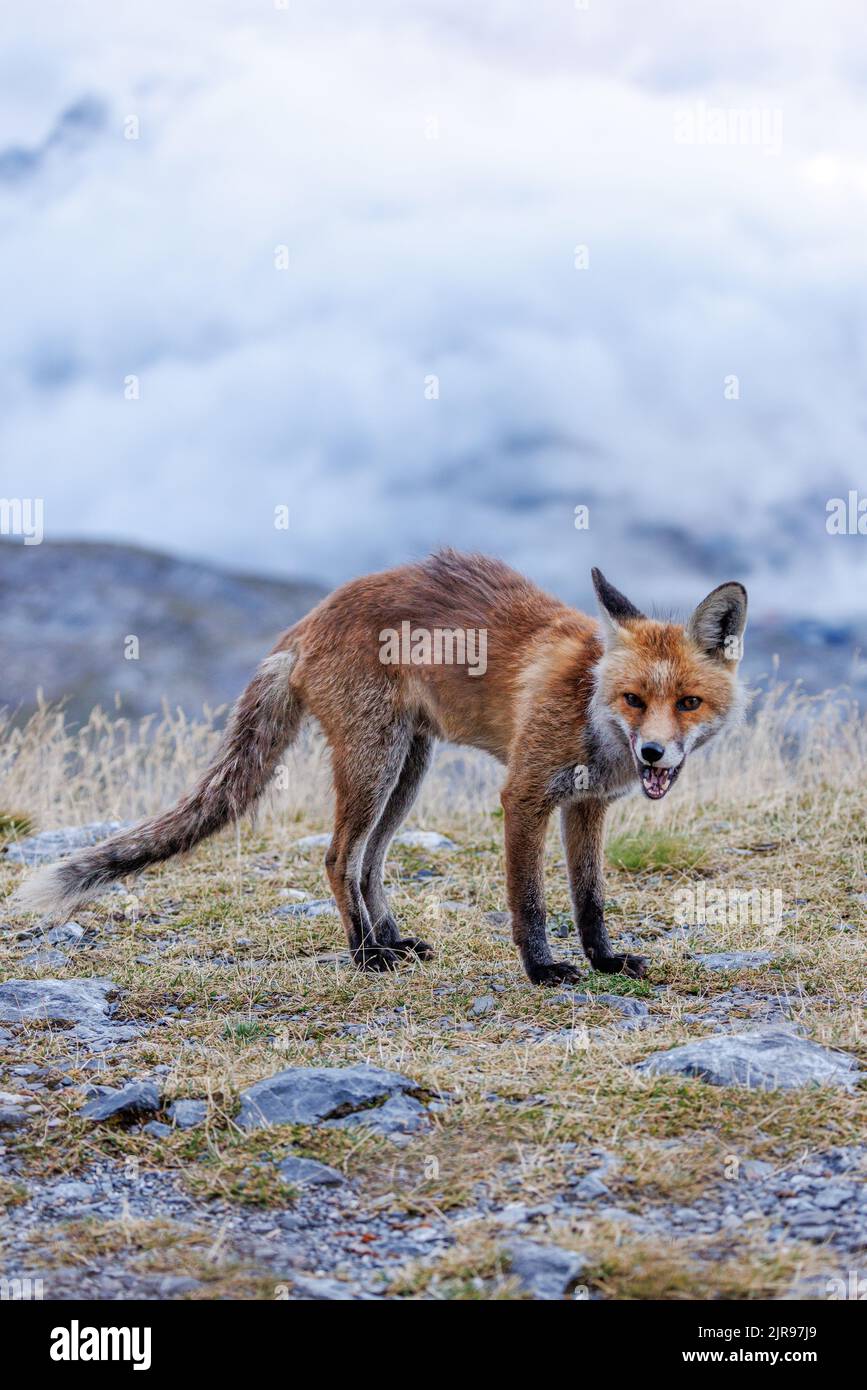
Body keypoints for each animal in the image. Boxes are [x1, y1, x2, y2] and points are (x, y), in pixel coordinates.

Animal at [14, 551, 747, 985]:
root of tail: (308, 620)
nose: (652, 754)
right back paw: (365, 956)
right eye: (633, 699)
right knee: (338, 857)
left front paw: (605, 960)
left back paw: (389, 942)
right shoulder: (524, 796)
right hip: (375, 763)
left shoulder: (586, 806)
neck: (588, 703)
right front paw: (542, 971)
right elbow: (531, 902)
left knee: (368, 863)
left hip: (407, 768)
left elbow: (589, 899)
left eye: (687, 702)